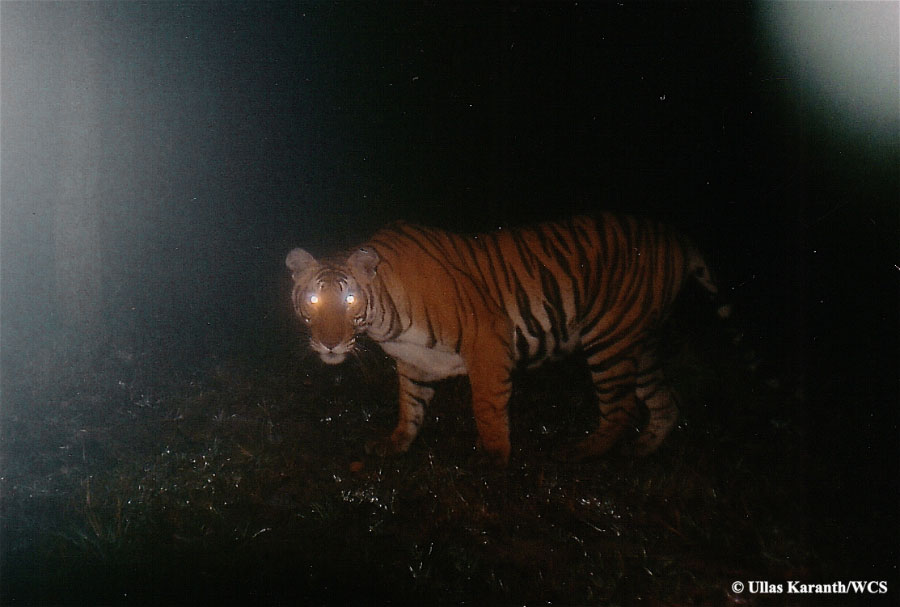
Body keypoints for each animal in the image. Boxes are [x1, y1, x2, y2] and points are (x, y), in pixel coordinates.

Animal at [286, 213, 722, 467]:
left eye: (349, 299)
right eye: (313, 300)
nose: (329, 344)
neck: (382, 322)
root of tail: (674, 236)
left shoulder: (488, 341)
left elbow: (488, 407)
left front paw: (494, 459)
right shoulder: (412, 360)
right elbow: (410, 406)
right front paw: (396, 444)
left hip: (609, 340)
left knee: (623, 408)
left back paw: (578, 452)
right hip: (637, 344)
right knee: (665, 401)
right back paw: (641, 450)